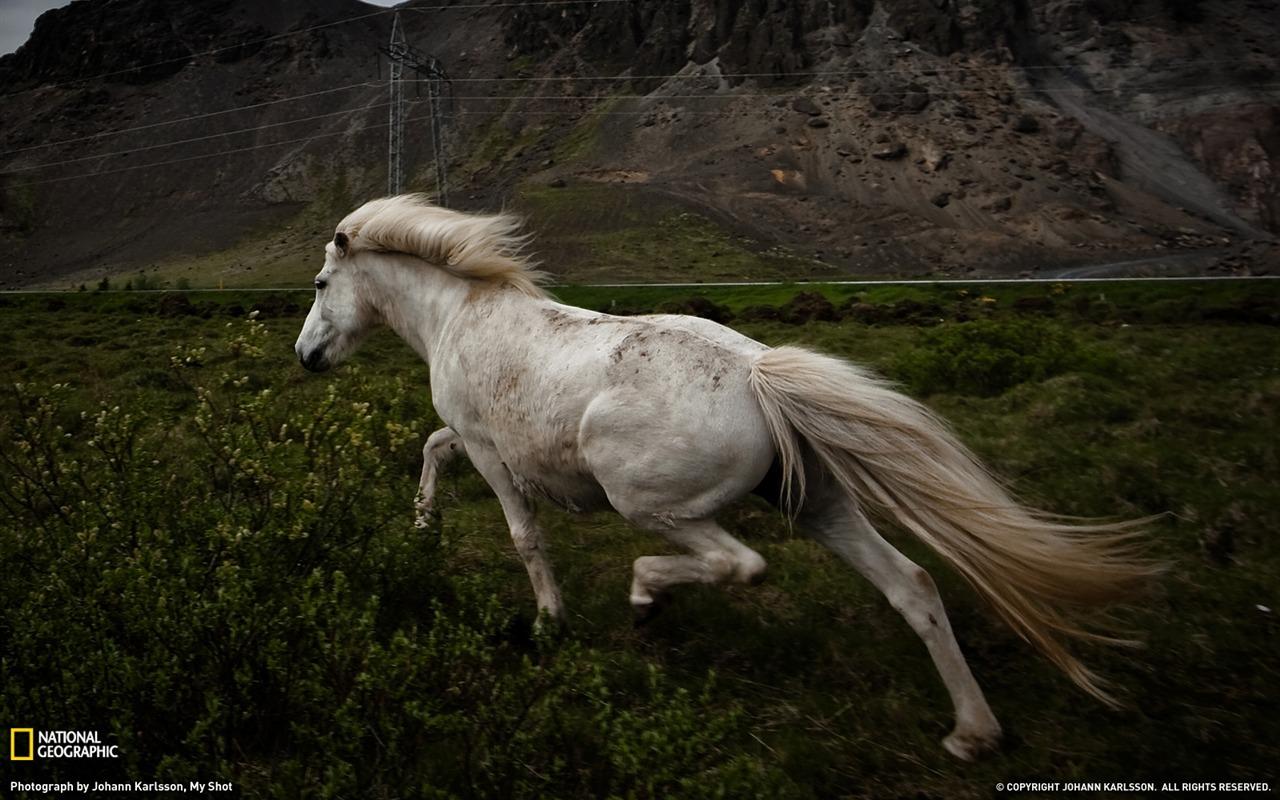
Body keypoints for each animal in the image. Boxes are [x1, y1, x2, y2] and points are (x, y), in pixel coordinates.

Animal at [294, 194, 1159, 761]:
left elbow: (522, 535)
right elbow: (432, 451)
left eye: (320, 286)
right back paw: (973, 733)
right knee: (912, 584)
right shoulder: (477, 444)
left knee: (738, 563)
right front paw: (421, 528)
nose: (305, 357)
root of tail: (758, 373)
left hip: (649, 501)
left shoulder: (490, 451)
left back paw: (646, 598)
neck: (460, 315)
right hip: (818, 505)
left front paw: (547, 623)